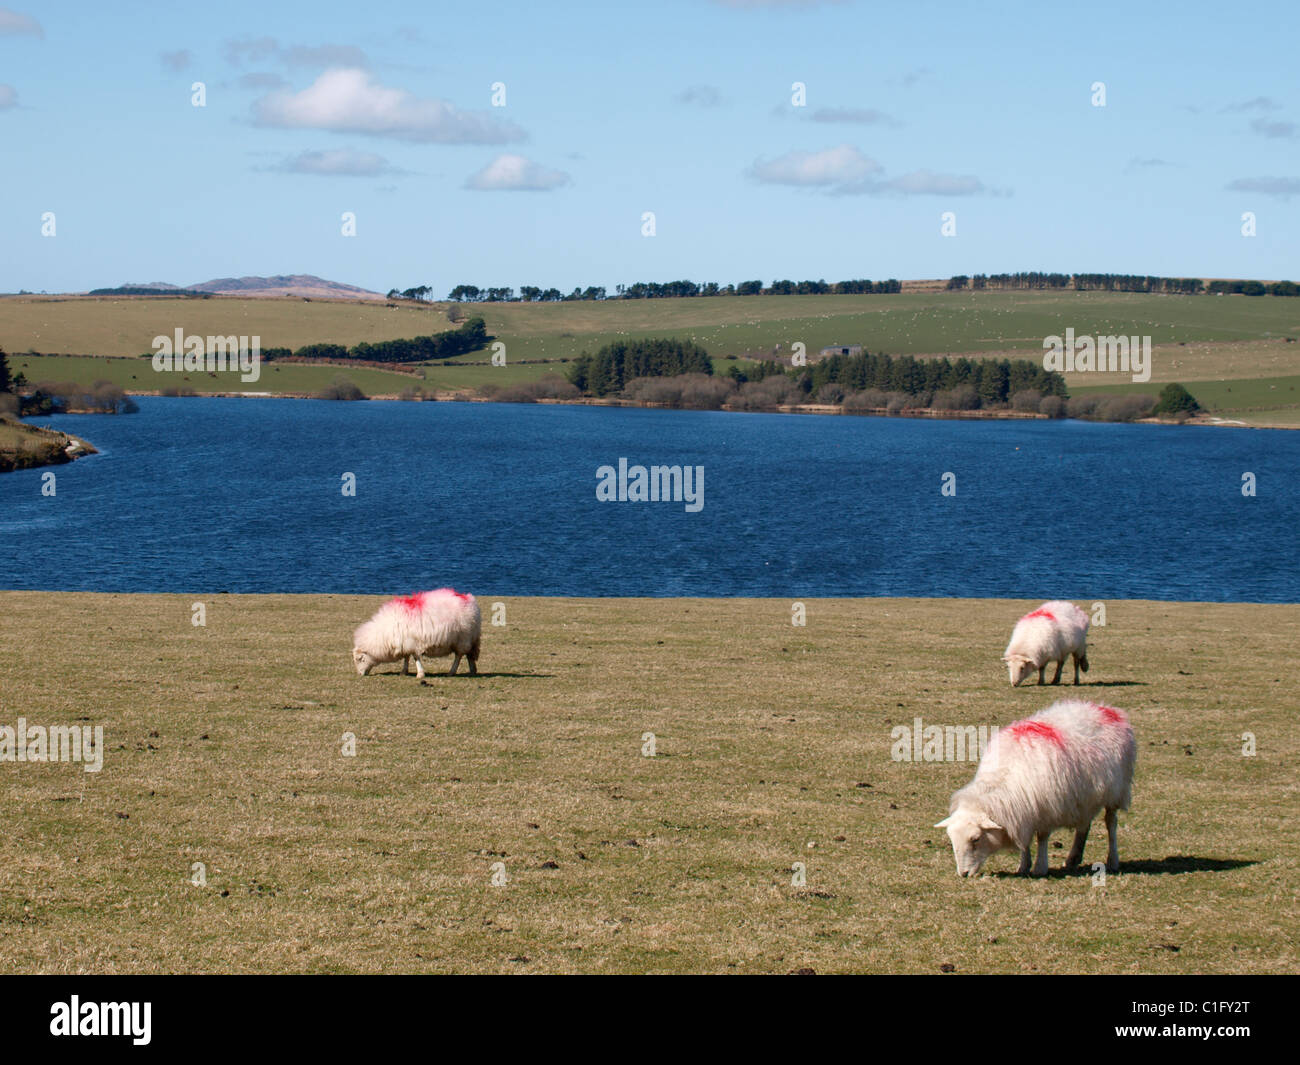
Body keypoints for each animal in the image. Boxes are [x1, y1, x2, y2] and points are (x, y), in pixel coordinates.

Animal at [351, 588, 481, 678]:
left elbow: (415, 657)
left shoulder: (413, 643)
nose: (360, 674)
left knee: (459, 656)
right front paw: (404, 671)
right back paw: (472, 671)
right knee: (469, 654)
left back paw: (451, 672)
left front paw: (420, 674)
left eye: (360, 659)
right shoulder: (405, 643)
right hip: (470, 638)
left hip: (463, 638)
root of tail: (469, 599)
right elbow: (406, 657)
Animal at [935, 699, 1135, 877]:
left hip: (1117, 791)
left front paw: (1040, 867)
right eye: (951, 839)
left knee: (1111, 823)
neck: (1006, 777)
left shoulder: (1046, 807)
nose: (963, 874)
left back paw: (1112, 860)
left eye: (975, 839)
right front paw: (1023, 866)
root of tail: (1109, 710)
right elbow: (1025, 839)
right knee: (1084, 824)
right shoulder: (1024, 809)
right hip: (1086, 796)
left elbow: (1042, 837)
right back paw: (1073, 859)